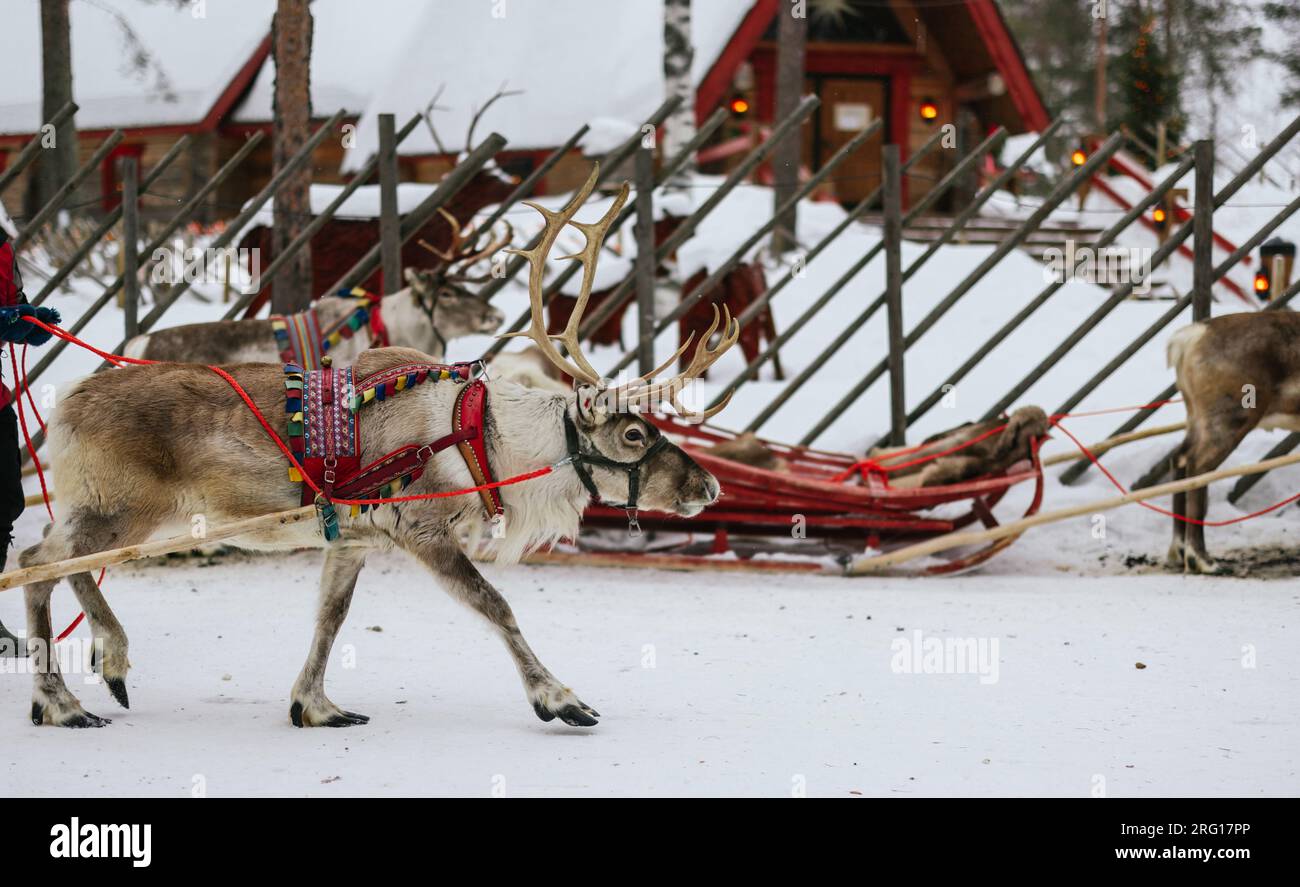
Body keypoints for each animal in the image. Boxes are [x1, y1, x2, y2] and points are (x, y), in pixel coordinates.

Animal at [1163, 312, 1300, 573]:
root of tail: (1192, 337)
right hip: (1231, 419)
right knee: (1198, 467)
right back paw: (1201, 560)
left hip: (1196, 419)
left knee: (1179, 458)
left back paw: (1179, 550)